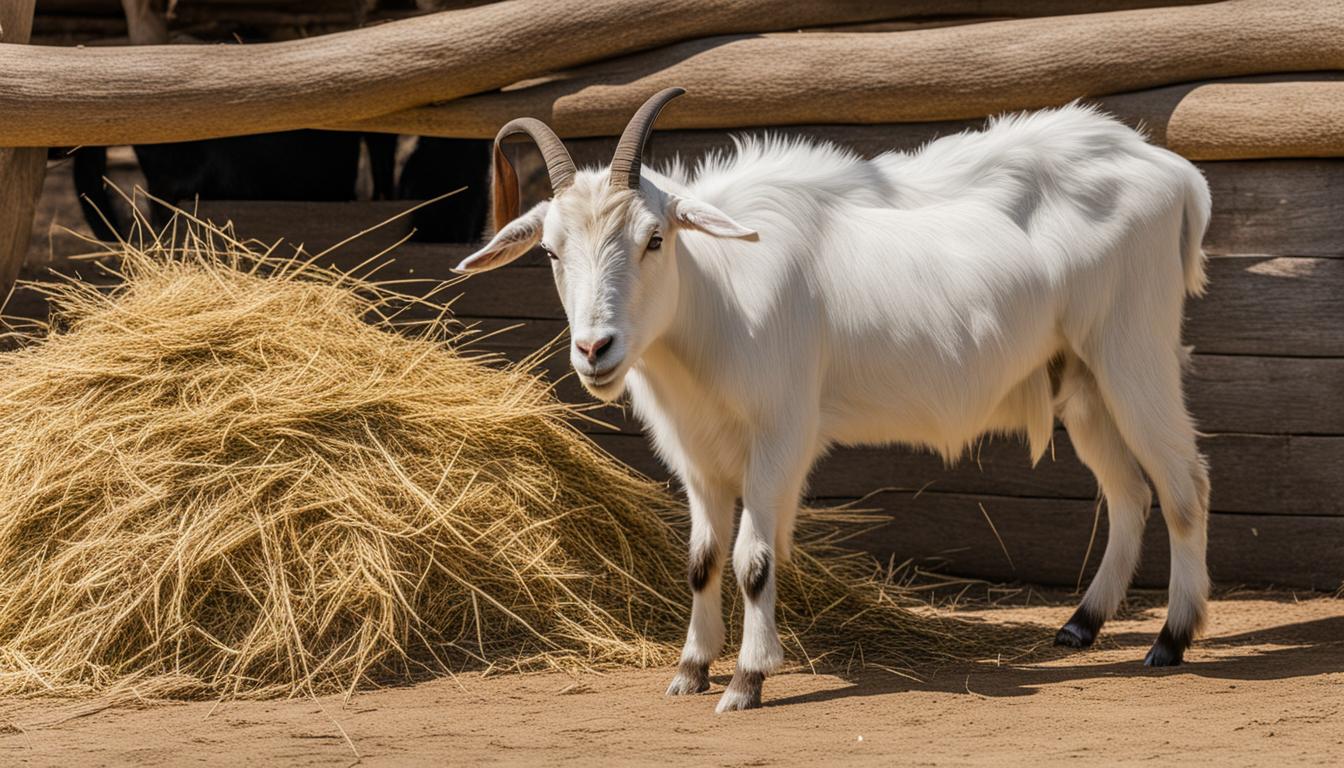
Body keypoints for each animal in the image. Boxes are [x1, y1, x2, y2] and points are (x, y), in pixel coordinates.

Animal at [455, 89, 1212, 712]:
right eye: (551, 251)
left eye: (655, 238)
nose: (595, 349)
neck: (718, 297)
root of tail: (1176, 175)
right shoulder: (696, 451)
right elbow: (701, 557)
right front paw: (691, 668)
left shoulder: (780, 435)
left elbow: (753, 559)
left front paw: (747, 679)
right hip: (1080, 380)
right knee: (1128, 490)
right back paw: (1082, 624)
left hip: (1132, 355)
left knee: (1183, 487)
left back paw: (1172, 637)